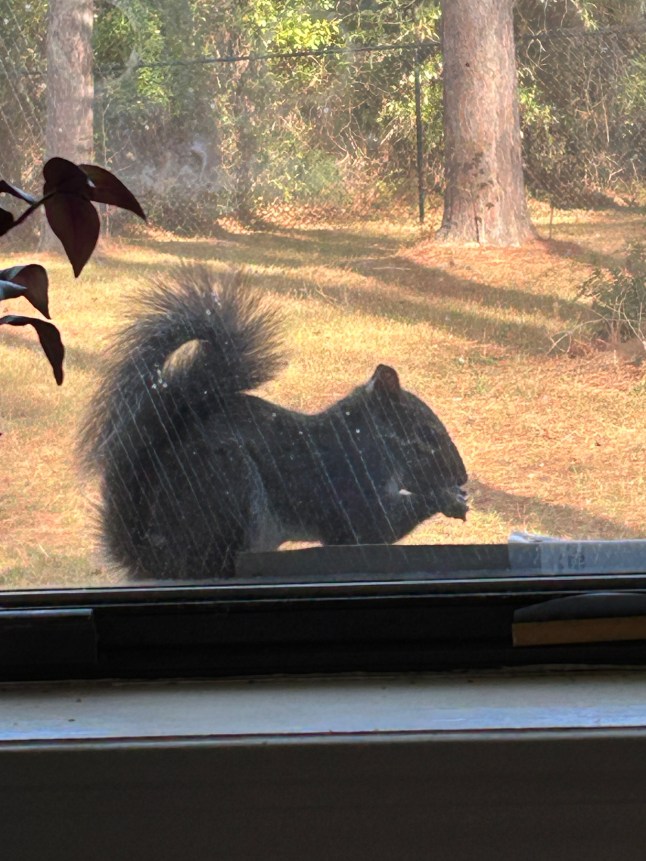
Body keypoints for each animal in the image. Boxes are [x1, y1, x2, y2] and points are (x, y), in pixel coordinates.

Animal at [79, 263, 469, 581]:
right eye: (426, 436)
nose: (462, 477)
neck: (364, 440)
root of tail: (151, 556)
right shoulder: (352, 491)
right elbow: (377, 525)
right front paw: (446, 498)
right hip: (229, 486)